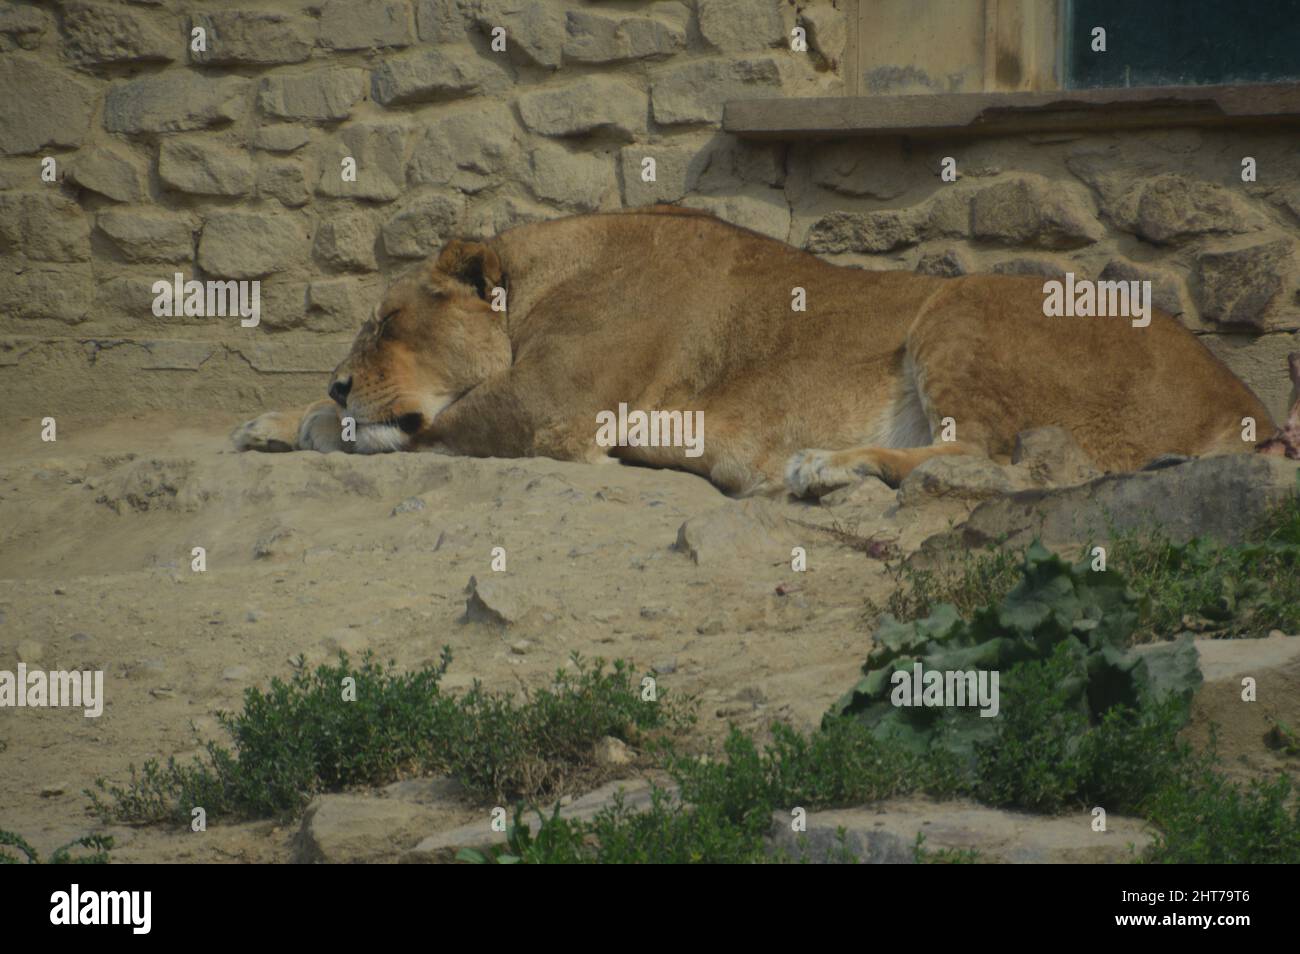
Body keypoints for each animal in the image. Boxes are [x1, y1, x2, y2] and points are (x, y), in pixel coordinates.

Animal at [233, 206, 1296, 497]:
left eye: (384, 323)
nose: (337, 373)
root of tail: (1246, 405)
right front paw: (277, 416)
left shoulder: (548, 408)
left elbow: (427, 425)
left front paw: (329, 420)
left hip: (963, 299)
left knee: (996, 458)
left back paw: (821, 465)